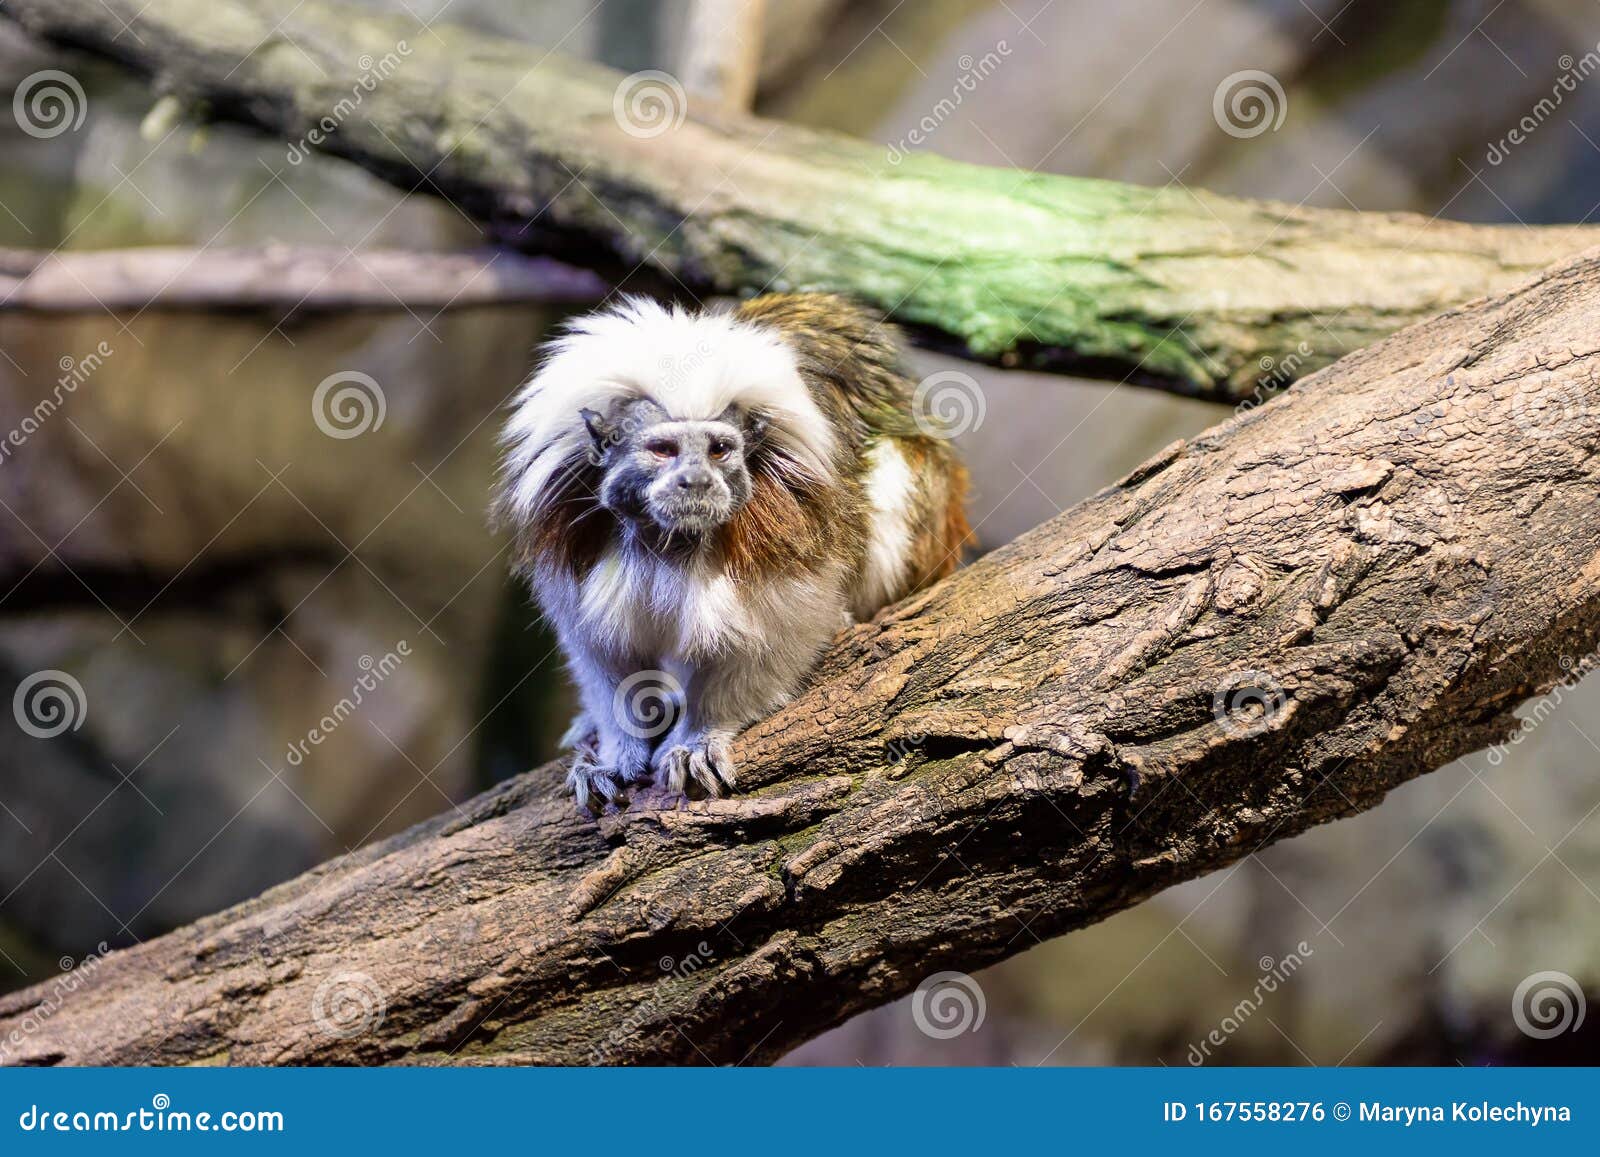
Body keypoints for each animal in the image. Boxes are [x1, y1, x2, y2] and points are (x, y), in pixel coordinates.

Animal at [493, 293, 971, 811]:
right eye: (663, 450)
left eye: (719, 450)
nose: (696, 481)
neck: (670, 543)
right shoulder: (571, 547)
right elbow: (601, 653)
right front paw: (616, 751)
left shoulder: (790, 540)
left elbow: (781, 640)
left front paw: (699, 738)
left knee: (894, 465)